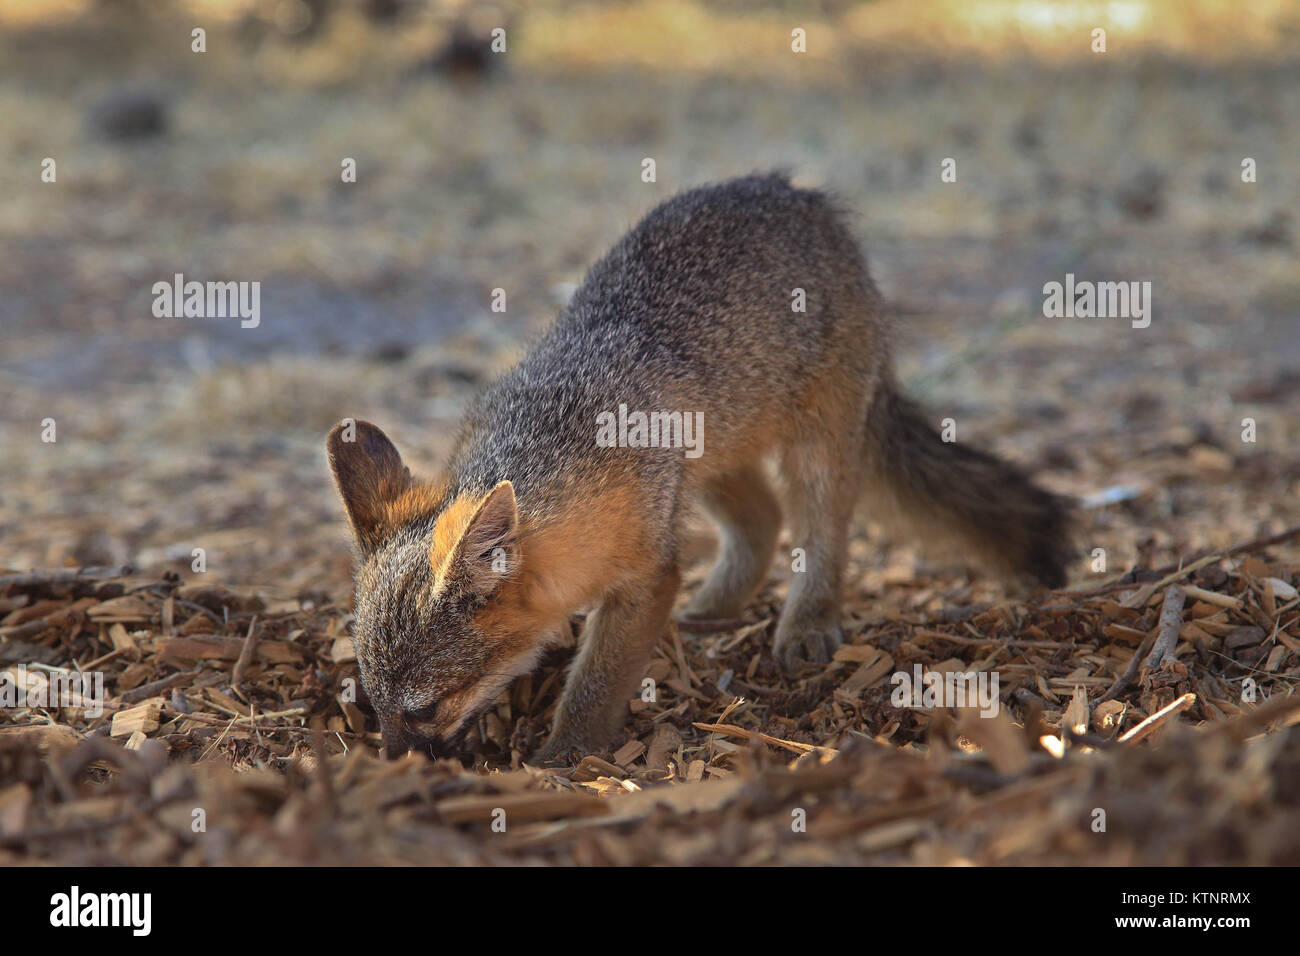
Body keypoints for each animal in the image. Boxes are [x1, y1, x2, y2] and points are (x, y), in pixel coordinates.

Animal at [326, 172, 1073, 763]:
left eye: (422, 709)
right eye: (374, 705)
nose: (391, 764)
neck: (549, 440)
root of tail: (795, 190)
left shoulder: (647, 569)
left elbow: (597, 683)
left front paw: (565, 755)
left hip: (813, 446)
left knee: (819, 532)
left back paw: (807, 621)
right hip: (709, 453)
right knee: (763, 521)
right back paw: (712, 616)